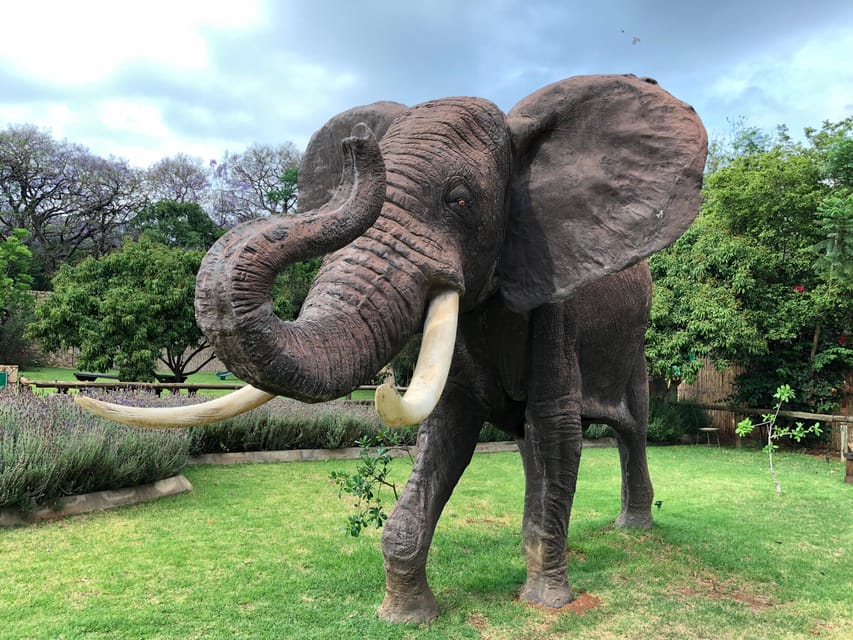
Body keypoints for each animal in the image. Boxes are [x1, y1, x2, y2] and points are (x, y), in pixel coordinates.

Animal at [78, 74, 707, 624]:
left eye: (459, 200)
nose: (359, 146)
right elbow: (447, 431)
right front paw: (408, 615)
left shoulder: (556, 299)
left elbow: (556, 424)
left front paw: (548, 604)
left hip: (634, 347)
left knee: (629, 428)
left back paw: (633, 529)